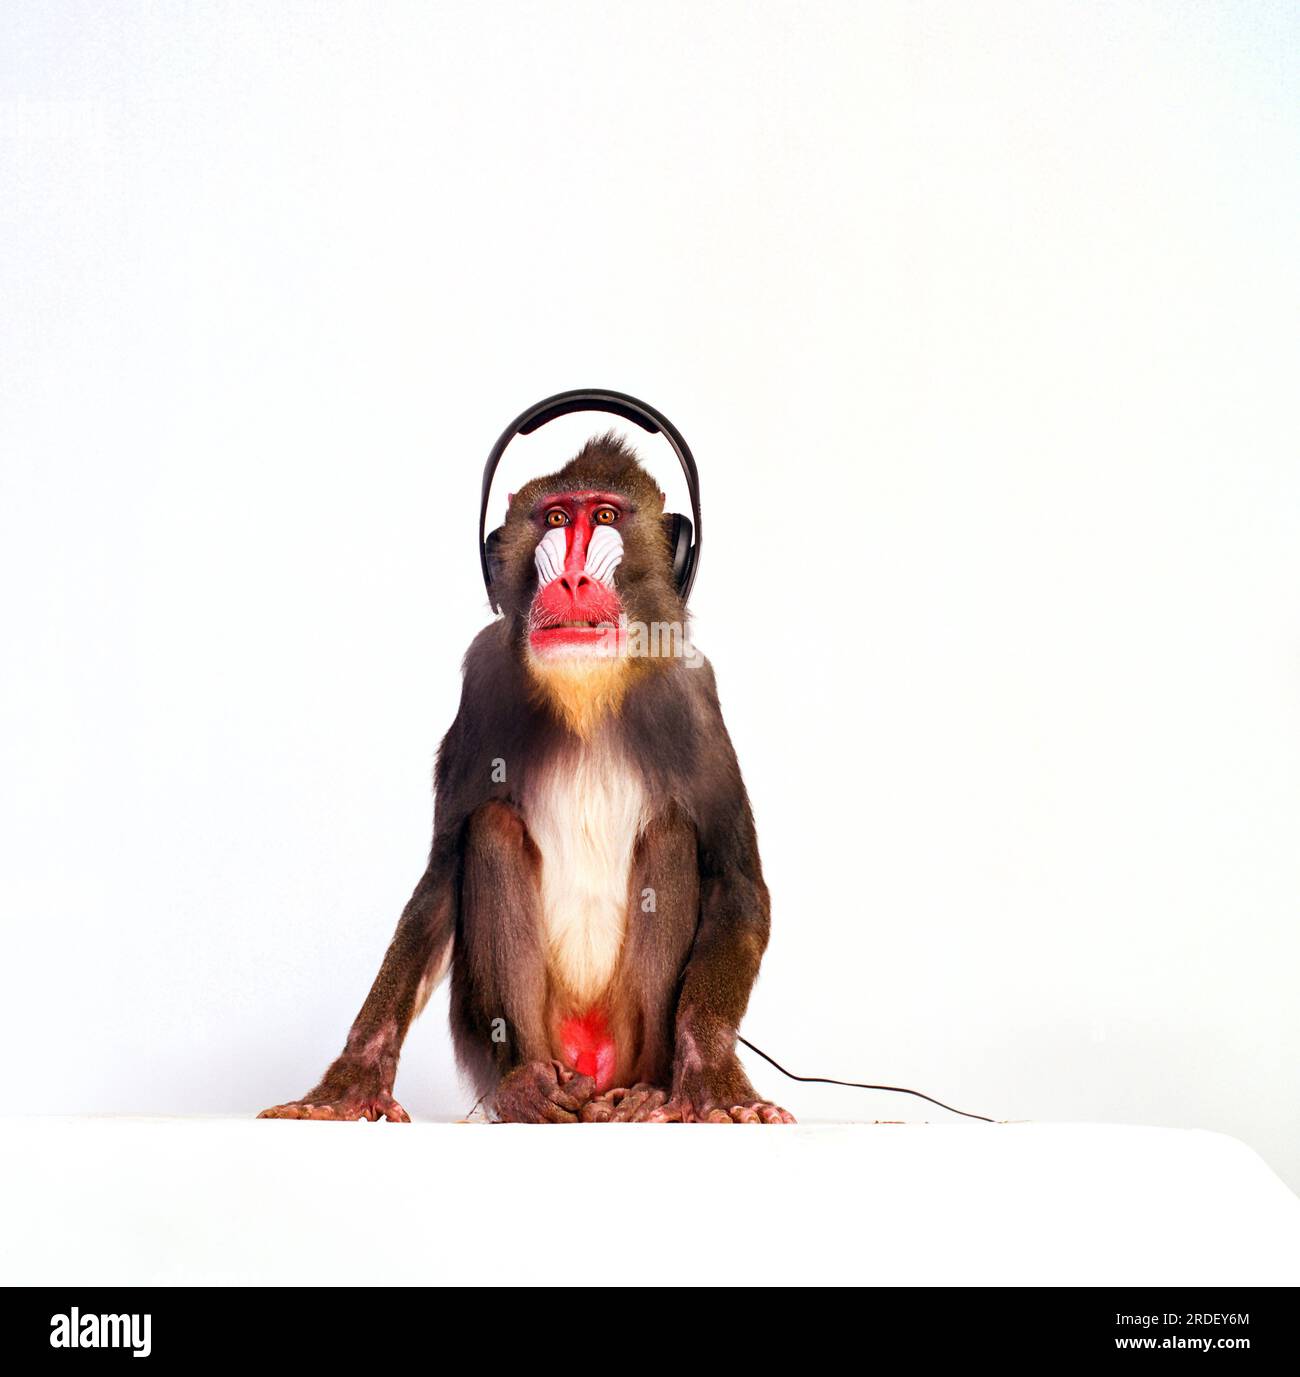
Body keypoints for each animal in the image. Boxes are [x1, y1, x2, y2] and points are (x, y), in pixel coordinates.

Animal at [259, 432, 793, 1124]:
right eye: (558, 519)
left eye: (606, 516)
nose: (570, 578)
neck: (587, 693)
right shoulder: (482, 685)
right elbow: (440, 882)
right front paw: (348, 1083)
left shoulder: (694, 695)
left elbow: (736, 882)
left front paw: (720, 1085)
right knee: (491, 829)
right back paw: (527, 1088)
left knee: (671, 831)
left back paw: (649, 1092)